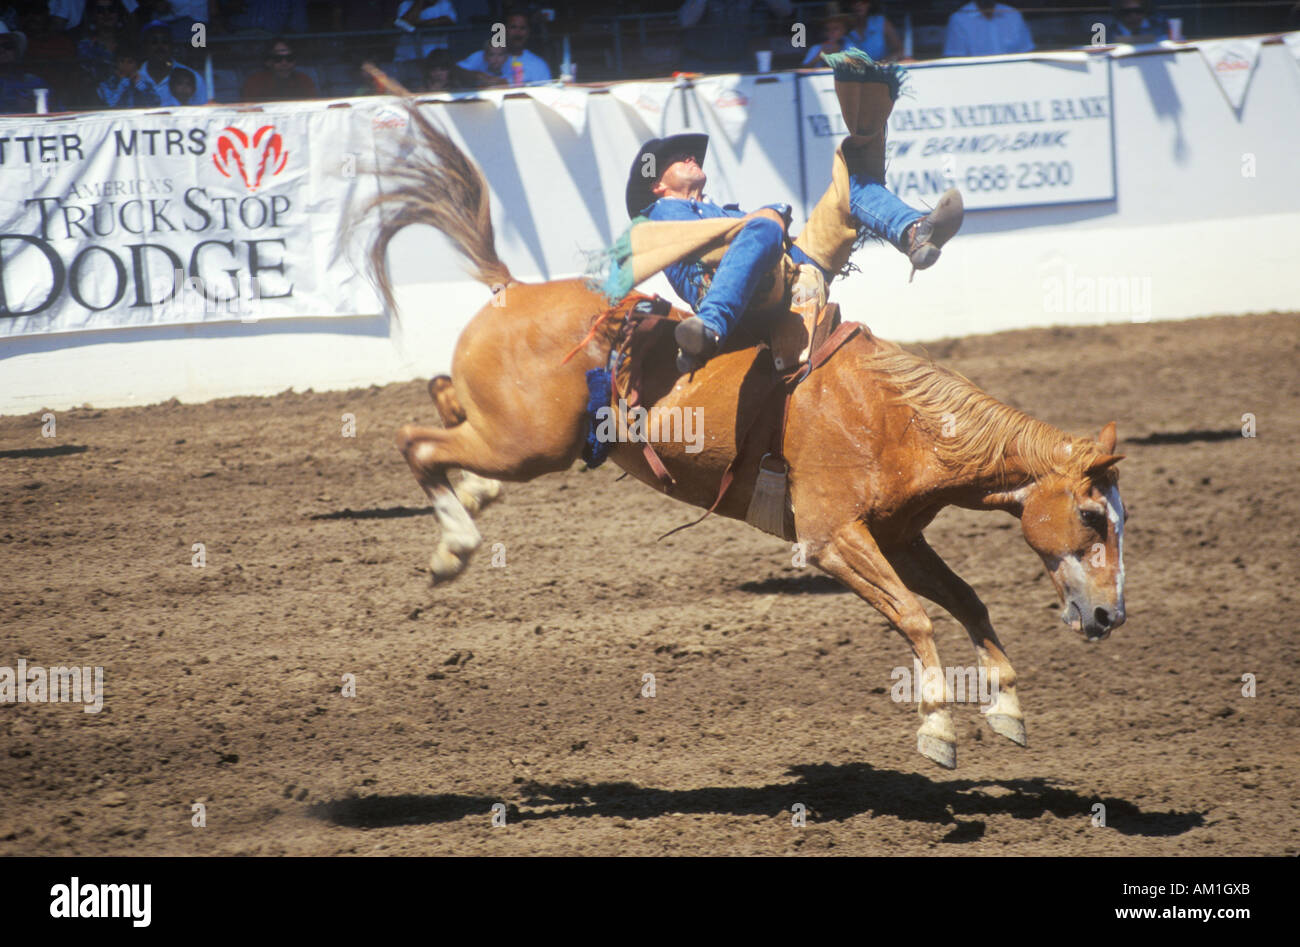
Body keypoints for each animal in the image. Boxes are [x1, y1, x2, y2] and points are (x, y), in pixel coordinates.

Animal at [358, 103, 1128, 770]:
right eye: (1093, 515)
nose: (1110, 614)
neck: (891, 416)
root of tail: (512, 288)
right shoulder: (831, 538)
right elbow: (915, 617)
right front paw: (937, 727)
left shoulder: (900, 536)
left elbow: (967, 600)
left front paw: (1007, 708)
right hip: (526, 443)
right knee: (415, 440)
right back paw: (455, 544)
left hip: (518, 438)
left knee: (443, 405)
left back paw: (472, 497)